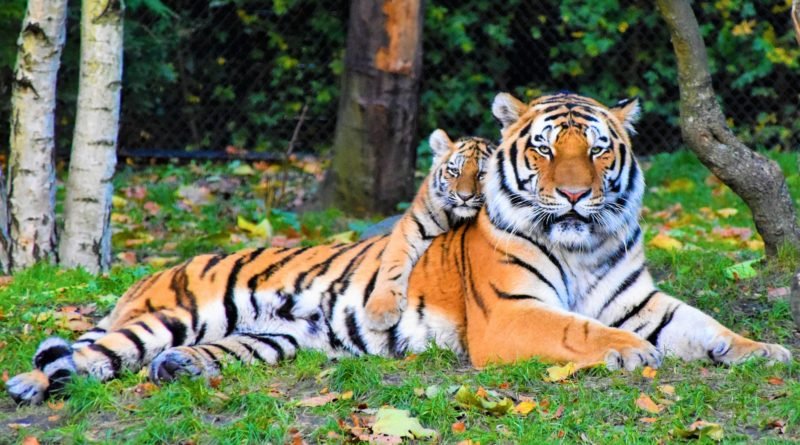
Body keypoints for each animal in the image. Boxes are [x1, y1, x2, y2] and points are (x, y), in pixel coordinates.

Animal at [364, 129, 494, 330]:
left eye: (482, 174)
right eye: (455, 172)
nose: (464, 197)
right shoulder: (410, 227)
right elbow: (393, 264)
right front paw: (380, 312)